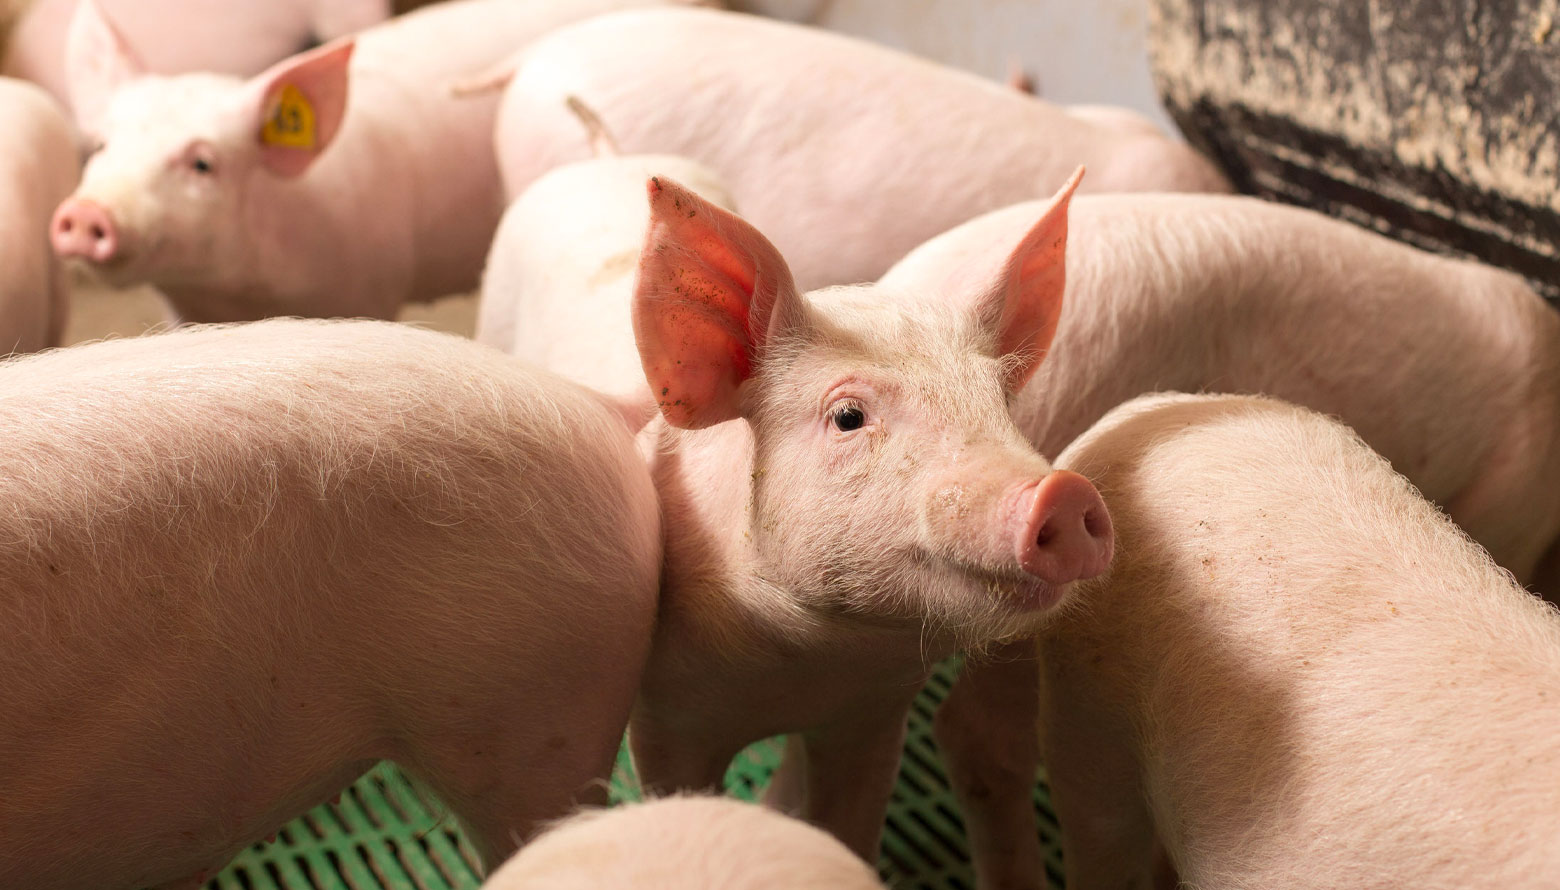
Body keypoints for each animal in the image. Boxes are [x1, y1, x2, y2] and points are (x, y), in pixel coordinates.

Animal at [615, 167, 1112, 863]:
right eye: (848, 416)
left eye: (1003, 402)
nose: (1064, 491)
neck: (804, 664)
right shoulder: (665, 719)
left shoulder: (873, 718)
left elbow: (849, 824)